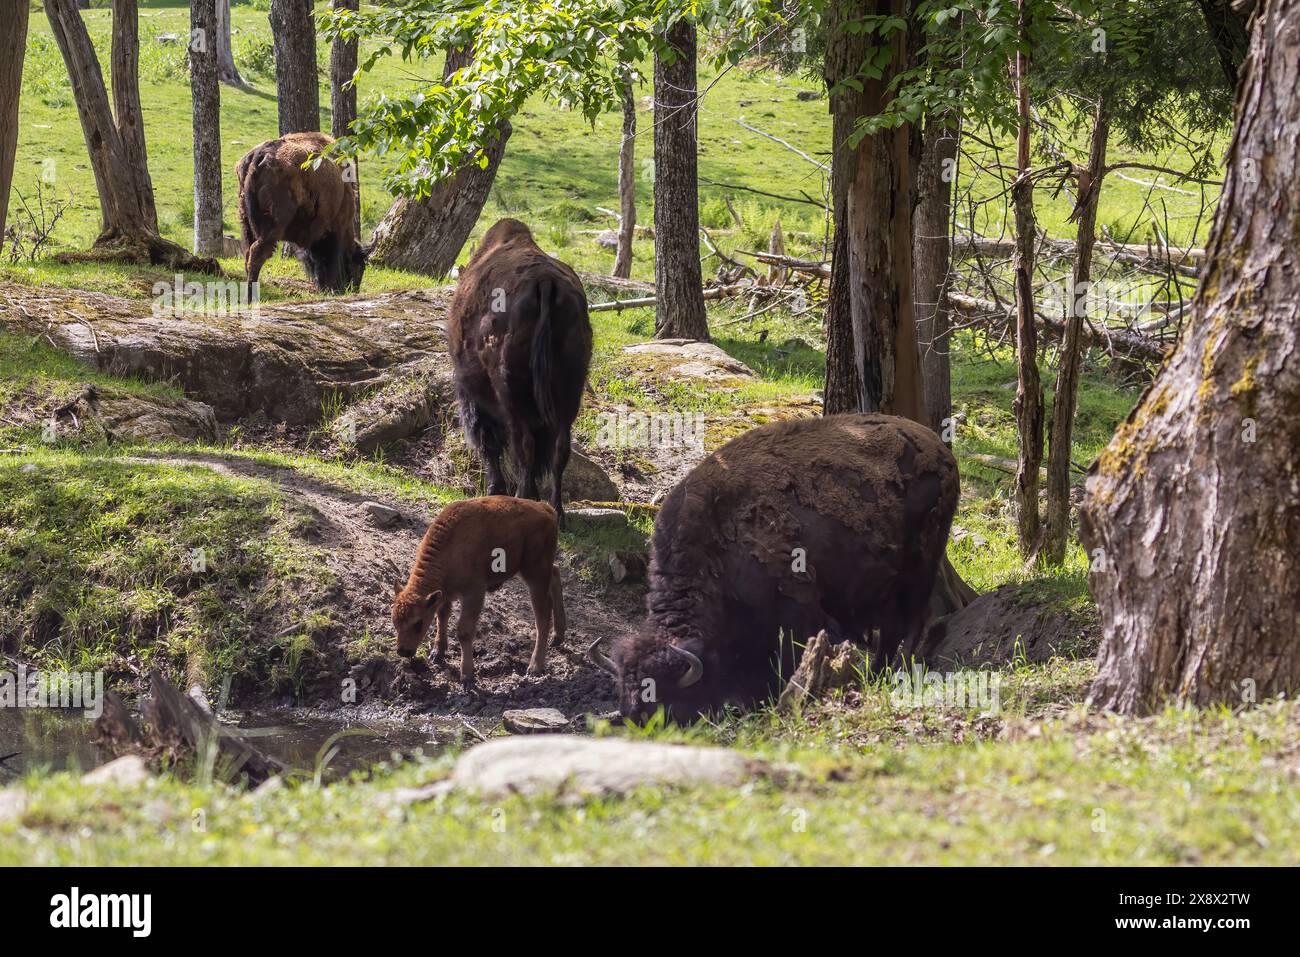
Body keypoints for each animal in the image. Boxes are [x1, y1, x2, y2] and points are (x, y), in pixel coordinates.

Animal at [235, 131, 368, 293]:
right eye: (360, 267)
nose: (352, 289)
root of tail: (259, 155)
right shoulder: (336, 228)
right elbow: (329, 259)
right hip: (272, 227)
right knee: (257, 253)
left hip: (245, 222)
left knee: (248, 253)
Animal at [447, 219, 593, 525]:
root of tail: (546, 283)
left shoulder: (472, 395)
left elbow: (489, 442)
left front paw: (495, 489)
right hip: (569, 390)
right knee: (559, 448)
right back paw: (556, 512)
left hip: (509, 391)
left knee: (522, 444)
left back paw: (521, 498)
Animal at [589, 414, 960, 724]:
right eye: (625, 690)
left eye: (664, 700)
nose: (634, 721)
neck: (715, 553)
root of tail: (940, 448)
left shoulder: (797, 613)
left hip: (919, 571)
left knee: (909, 624)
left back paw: (893, 672)